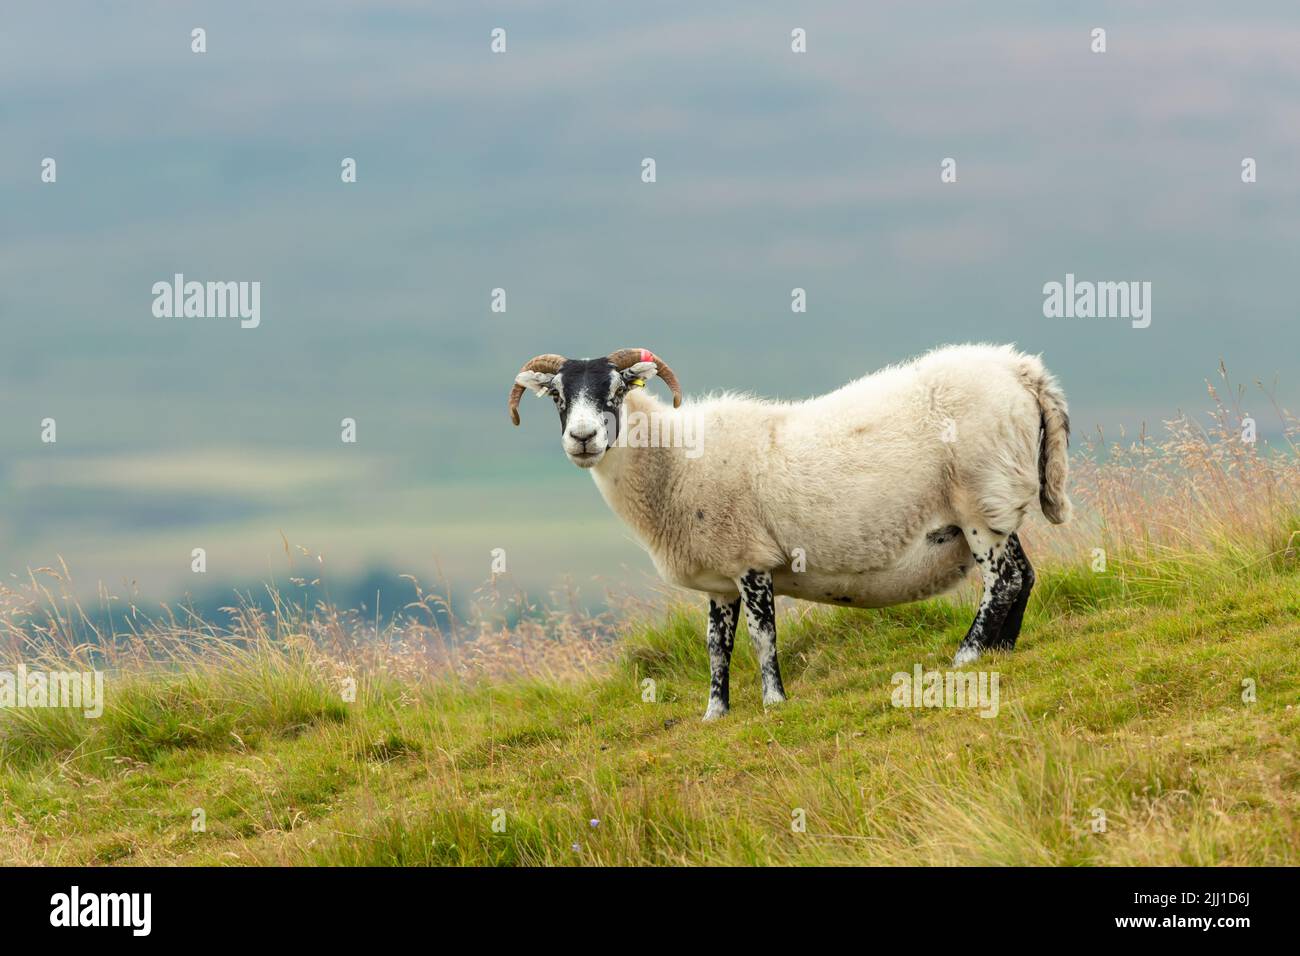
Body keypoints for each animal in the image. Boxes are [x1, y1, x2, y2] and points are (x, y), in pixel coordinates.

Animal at [509, 344, 1071, 720]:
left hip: (983, 499)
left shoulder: (750, 561)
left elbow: (763, 638)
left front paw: (774, 701)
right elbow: (716, 646)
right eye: (558, 396)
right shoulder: (719, 580)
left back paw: (967, 655)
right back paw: (1002, 651)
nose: (583, 438)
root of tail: (1024, 370)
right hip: (996, 504)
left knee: (1001, 582)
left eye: (616, 391)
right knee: (1023, 575)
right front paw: (715, 713)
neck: (673, 460)